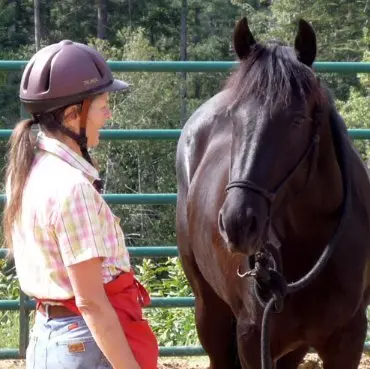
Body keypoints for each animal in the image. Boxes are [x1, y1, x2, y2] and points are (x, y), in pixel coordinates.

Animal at [175, 17, 370, 368]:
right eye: (233, 117)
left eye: (297, 120)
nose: (238, 222)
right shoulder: (253, 337)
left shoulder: (348, 338)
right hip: (209, 312)